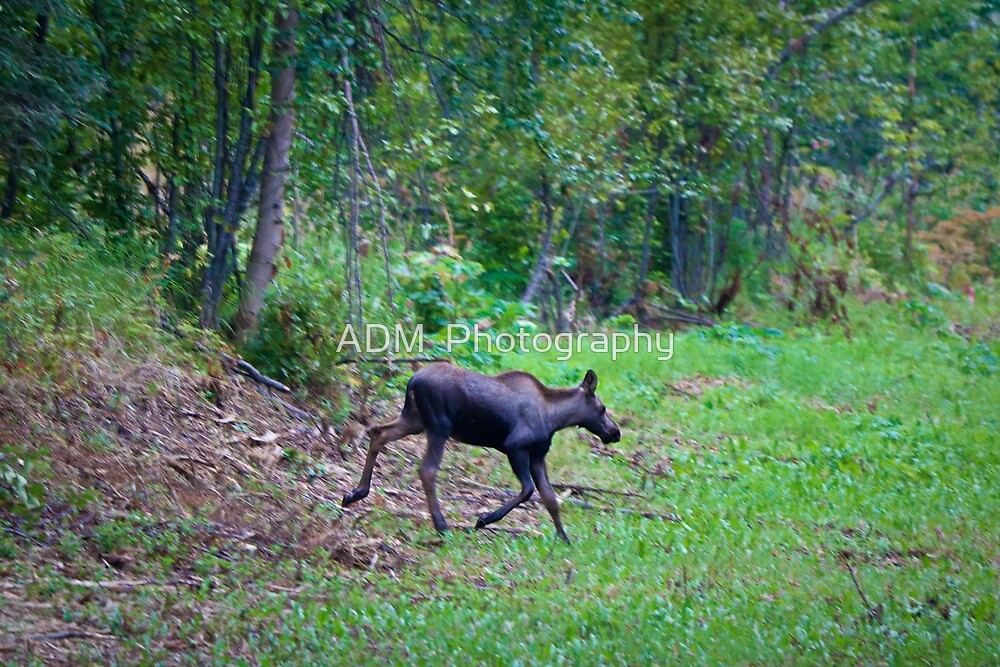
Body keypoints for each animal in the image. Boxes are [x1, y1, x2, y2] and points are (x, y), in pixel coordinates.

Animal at [342, 363, 621, 543]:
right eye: (602, 408)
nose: (615, 432)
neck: (555, 418)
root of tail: (412, 381)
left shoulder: (537, 456)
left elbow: (551, 499)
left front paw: (564, 538)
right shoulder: (514, 446)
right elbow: (528, 490)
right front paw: (484, 519)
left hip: (414, 419)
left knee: (378, 433)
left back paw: (355, 493)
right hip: (439, 426)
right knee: (427, 469)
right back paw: (441, 526)